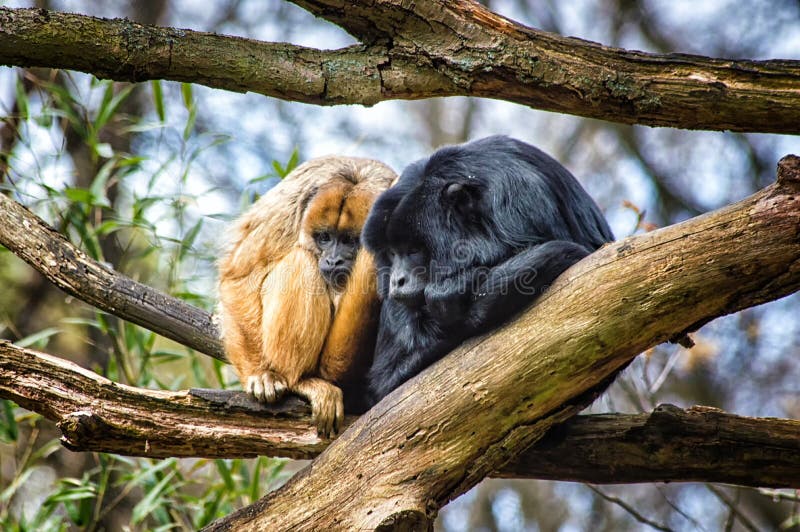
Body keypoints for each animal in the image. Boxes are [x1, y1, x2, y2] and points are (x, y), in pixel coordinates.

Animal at [217, 156, 396, 436]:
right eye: (324, 237)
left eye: (349, 241)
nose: (332, 260)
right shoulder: (286, 209)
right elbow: (241, 277)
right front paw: (261, 375)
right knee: (301, 262)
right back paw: (299, 381)